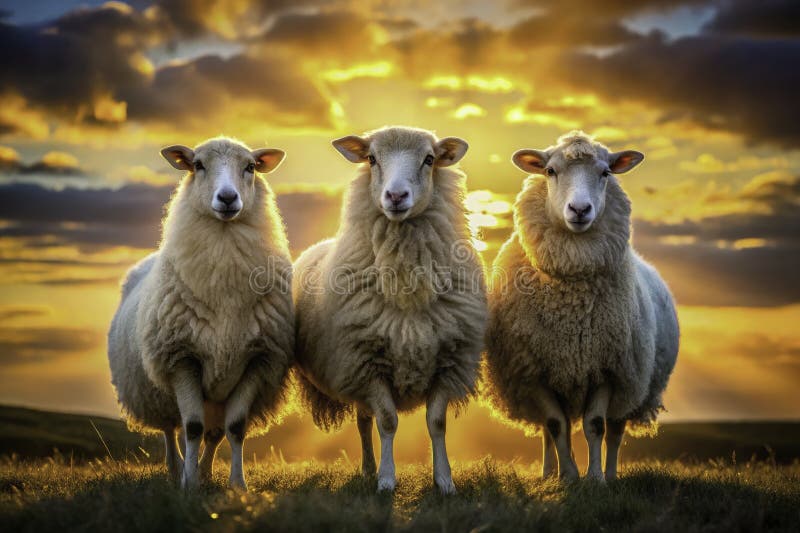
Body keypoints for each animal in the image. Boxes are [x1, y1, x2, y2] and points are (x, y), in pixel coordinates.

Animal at [107, 137, 294, 490]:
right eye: (198, 165)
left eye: (250, 167)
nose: (228, 197)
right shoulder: (182, 357)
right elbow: (191, 427)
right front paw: (189, 485)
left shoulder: (257, 360)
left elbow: (235, 429)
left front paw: (237, 485)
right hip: (156, 390)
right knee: (171, 428)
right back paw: (176, 469)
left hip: (217, 396)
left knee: (215, 433)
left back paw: (206, 471)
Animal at [292, 126, 487, 494]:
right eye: (371, 159)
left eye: (429, 159)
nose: (396, 196)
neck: (406, 282)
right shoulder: (368, 362)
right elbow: (387, 422)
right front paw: (385, 480)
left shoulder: (448, 360)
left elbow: (436, 423)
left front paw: (444, 481)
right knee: (364, 421)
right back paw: (369, 469)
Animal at [483, 131, 679, 482]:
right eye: (550, 171)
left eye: (605, 172)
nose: (579, 209)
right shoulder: (536, 372)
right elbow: (555, 425)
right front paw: (569, 477)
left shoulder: (606, 368)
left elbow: (595, 426)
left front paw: (595, 479)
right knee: (548, 430)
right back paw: (550, 473)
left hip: (632, 382)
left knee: (615, 430)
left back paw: (611, 475)